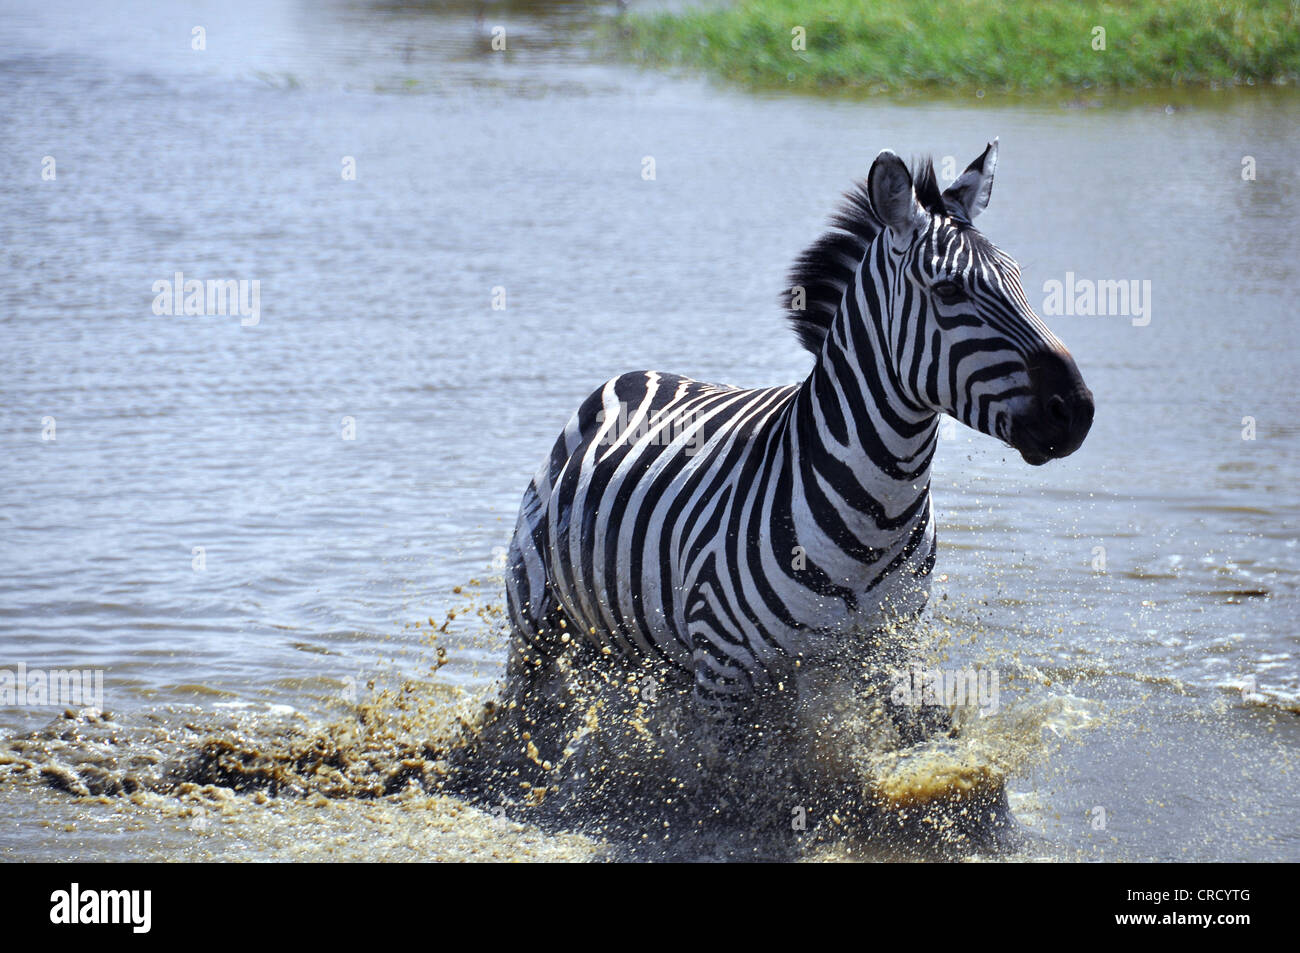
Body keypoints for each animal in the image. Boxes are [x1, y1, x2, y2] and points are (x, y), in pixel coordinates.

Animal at [501, 140, 1093, 742]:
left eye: (1018, 278)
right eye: (949, 290)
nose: (1078, 410)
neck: (877, 518)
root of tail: (632, 377)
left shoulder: (892, 654)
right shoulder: (724, 673)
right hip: (538, 626)